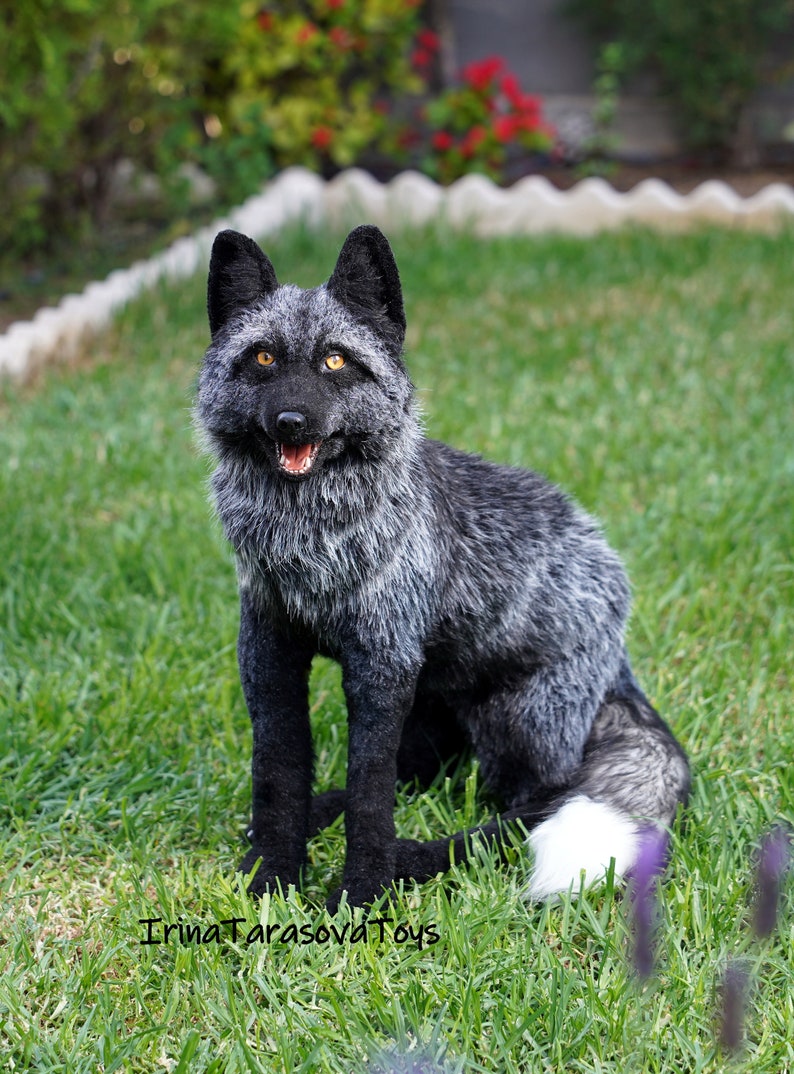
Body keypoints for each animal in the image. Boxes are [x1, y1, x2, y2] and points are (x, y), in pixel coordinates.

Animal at [195, 224, 690, 910]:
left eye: (335, 362)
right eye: (264, 359)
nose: (292, 421)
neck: (313, 547)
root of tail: (619, 656)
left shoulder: (381, 664)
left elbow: (372, 796)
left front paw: (360, 895)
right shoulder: (270, 650)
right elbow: (278, 779)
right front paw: (271, 877)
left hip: (517, 723)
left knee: (533, 805)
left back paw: (419, 857)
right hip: (432, 697)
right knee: (423, 770)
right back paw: (332, 814)